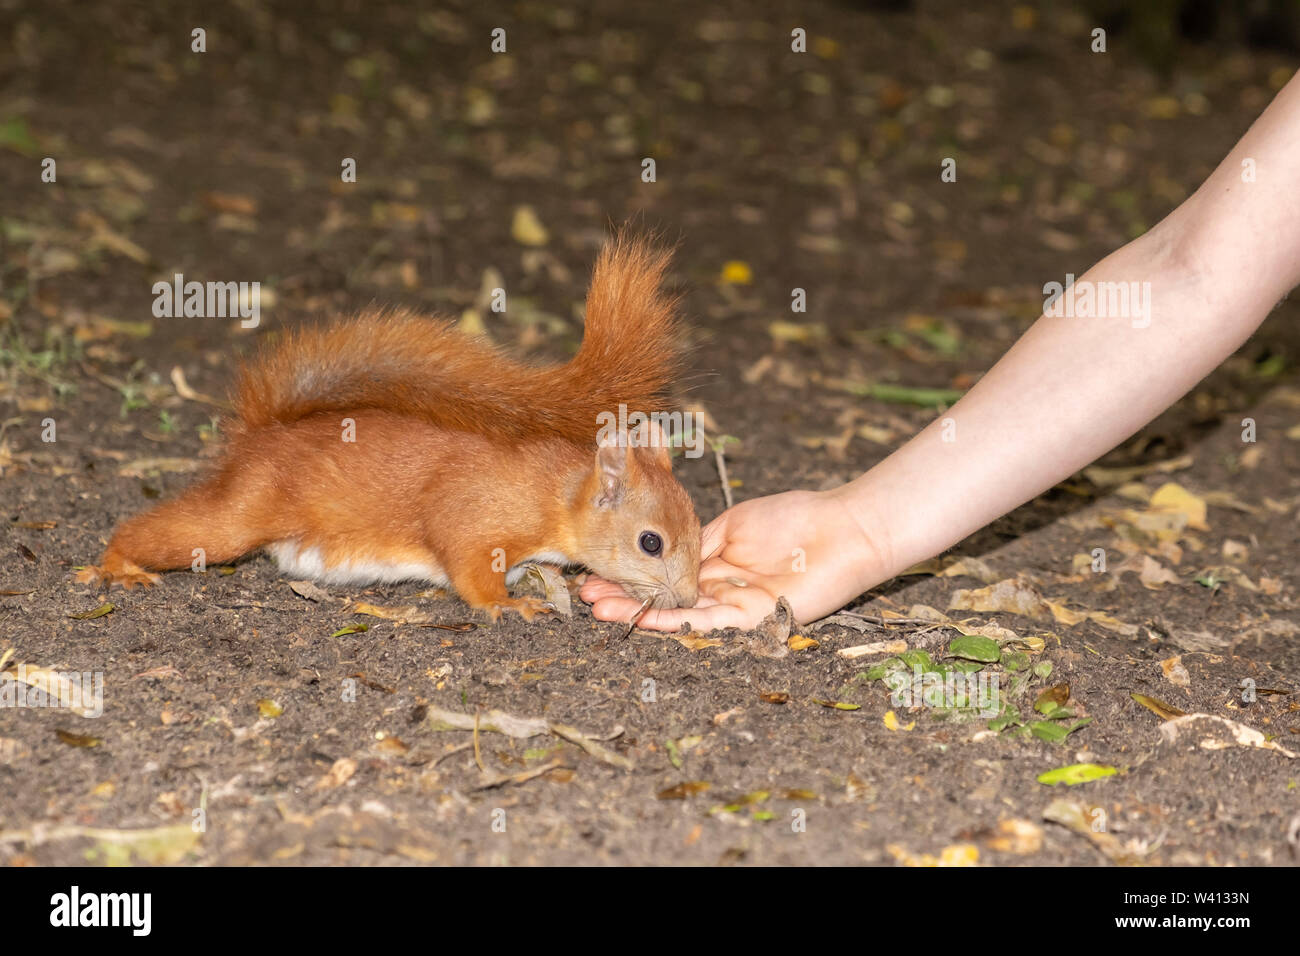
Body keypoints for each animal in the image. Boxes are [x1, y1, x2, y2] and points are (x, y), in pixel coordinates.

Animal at [76, 233, 702, 621]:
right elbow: (467, 565)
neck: (553, 495)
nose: (691, 599)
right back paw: (117, 564)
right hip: (239, 518)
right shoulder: (474, 516)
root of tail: (261, 433)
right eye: (650, 542)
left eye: (698, 524)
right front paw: (507, 604)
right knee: (172, 530)